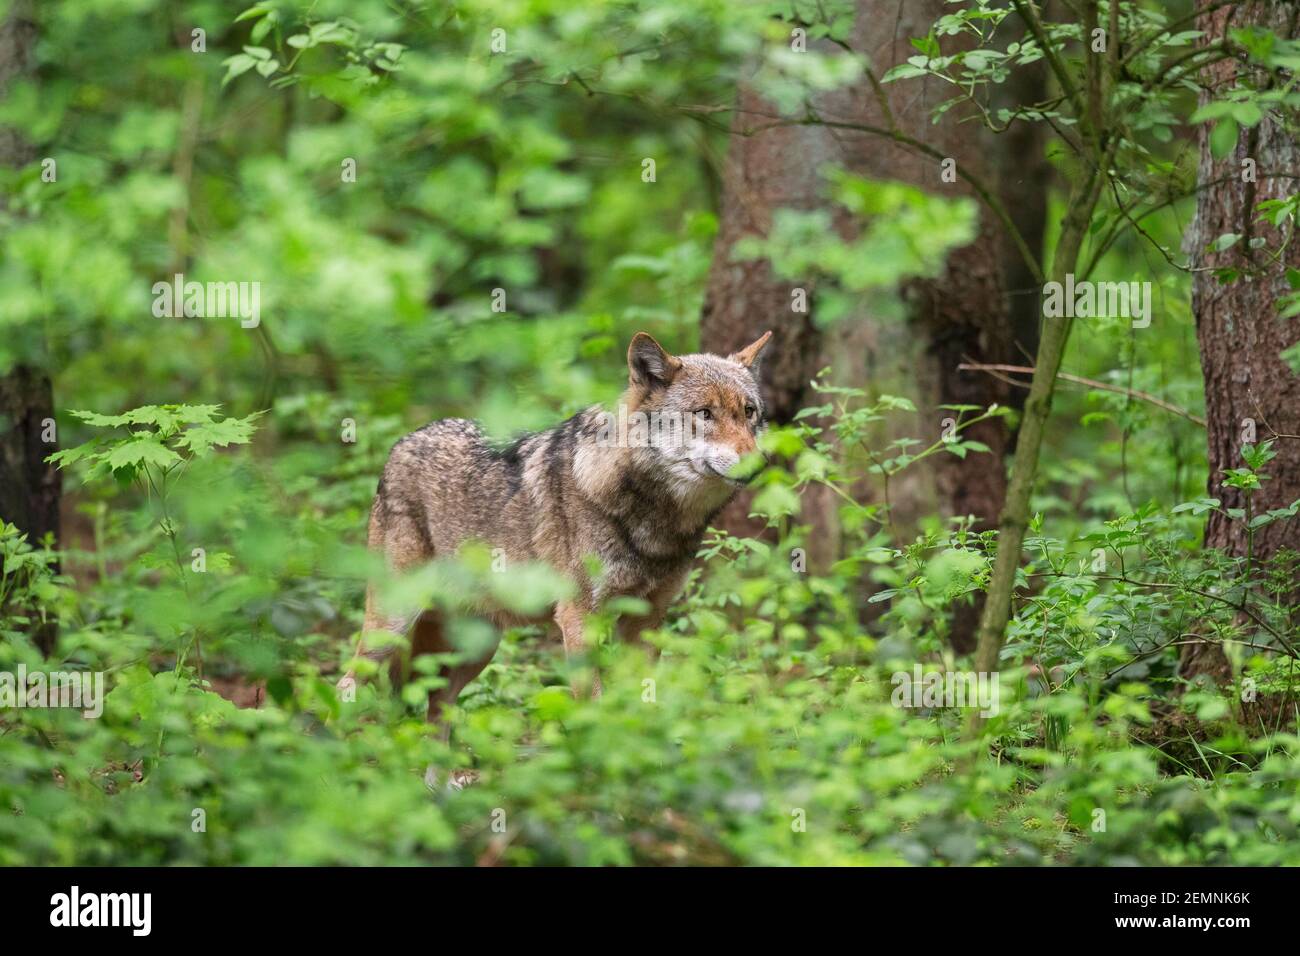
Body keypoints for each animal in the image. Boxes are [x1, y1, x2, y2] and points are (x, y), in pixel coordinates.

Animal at [341, 330, 772, 740]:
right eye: (704, 414)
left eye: (749, 412)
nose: (757, 463)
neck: (655, 520)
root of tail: (404, 440)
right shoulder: (579, 621)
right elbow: (594, 709)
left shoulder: (647, 621)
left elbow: (642, 705)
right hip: (393, 626)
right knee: (347, 685)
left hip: (476, 648)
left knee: (436, 712)